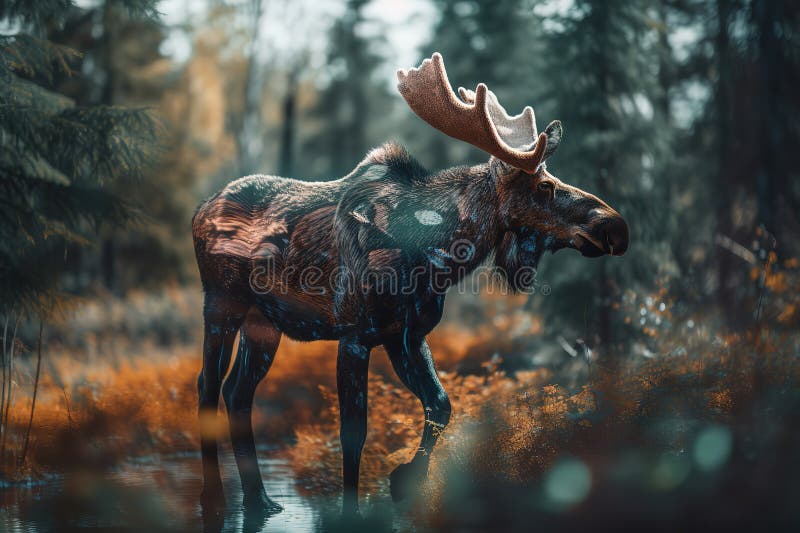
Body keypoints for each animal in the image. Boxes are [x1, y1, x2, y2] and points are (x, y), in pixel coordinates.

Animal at [191, 53, 628, 519]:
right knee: (208, 385)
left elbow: (442, 405)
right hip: (221, 304)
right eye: (545, 185)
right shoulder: (356, 335)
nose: (616, 228)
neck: (433, 259)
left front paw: (404, 479)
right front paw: (354, 513)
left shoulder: (406, 336)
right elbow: (354, 432)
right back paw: (214, 498)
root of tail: (199, 210)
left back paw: (259, 499)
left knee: (239, 392)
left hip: (264, 324)